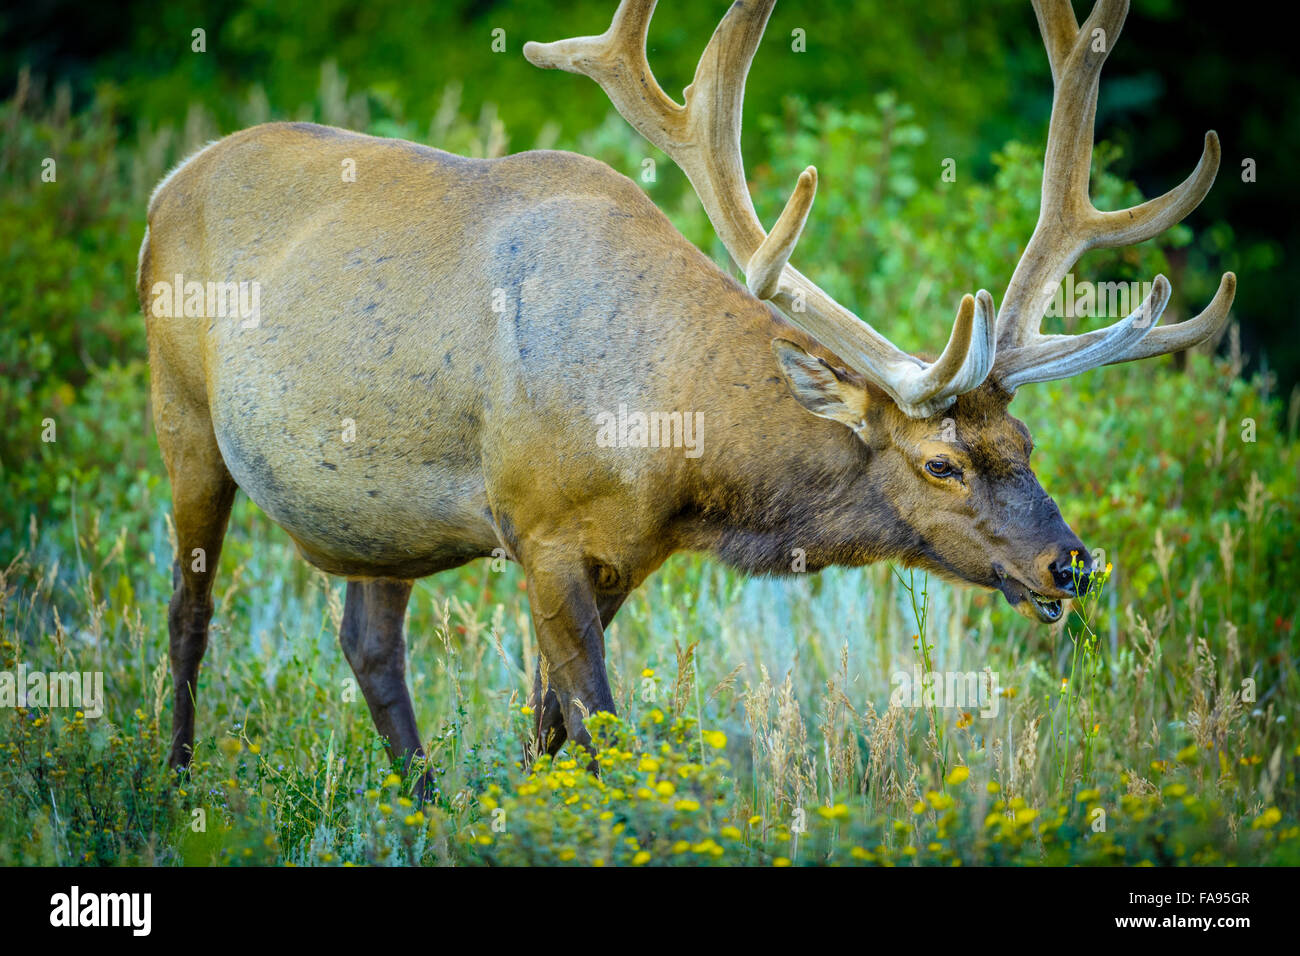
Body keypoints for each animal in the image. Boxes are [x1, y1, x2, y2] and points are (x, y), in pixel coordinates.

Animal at [138, 0, 1235, 791]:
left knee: (369, 643)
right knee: (188, 610)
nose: (1070, 563)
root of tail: (164, 185)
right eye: (941, 461)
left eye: (1027, 442)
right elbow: (601, 730)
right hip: (182, 414)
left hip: (378, 518)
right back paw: (177, 784)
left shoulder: (622, 555)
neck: (664, 440)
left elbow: (549, 730)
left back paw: (425, 801)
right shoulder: (537, 525)